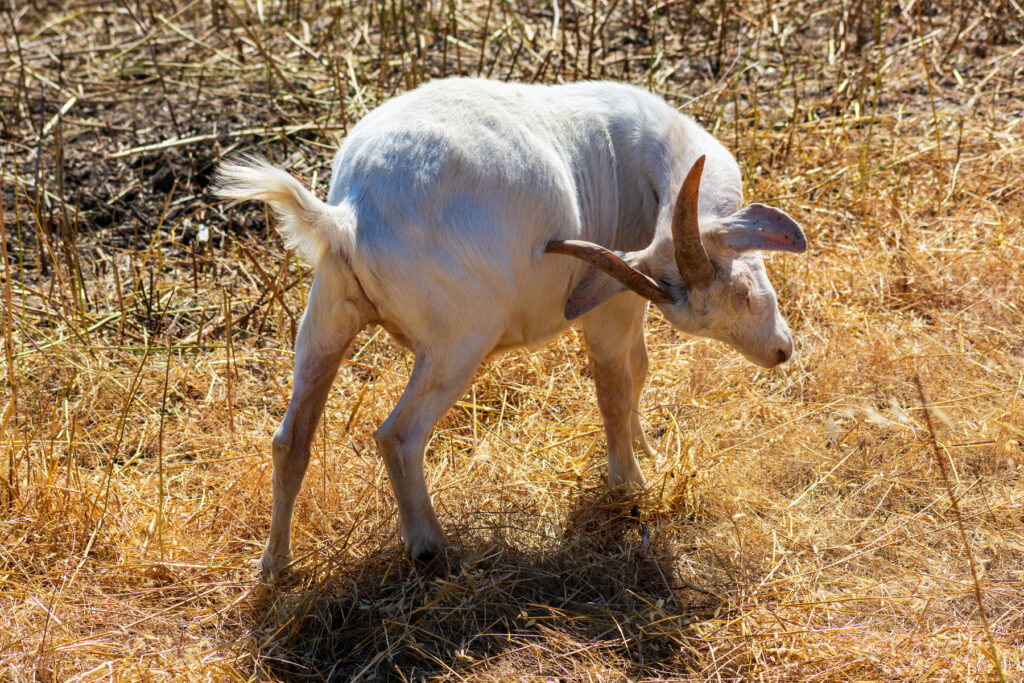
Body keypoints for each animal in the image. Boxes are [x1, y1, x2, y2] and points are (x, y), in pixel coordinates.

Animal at [216, 78, 807, 573]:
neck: (645, 162)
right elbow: (615, 386)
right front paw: (631, 486)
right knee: (398, 436)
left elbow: (639, 369)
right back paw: (432, 547)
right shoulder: (612, 301)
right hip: (457, 343)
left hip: (327, 314)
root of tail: (350, 215)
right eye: (742, 292)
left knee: (290, 439)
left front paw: (650, 451)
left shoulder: (632, 296)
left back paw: (276, 566)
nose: (780, 352)